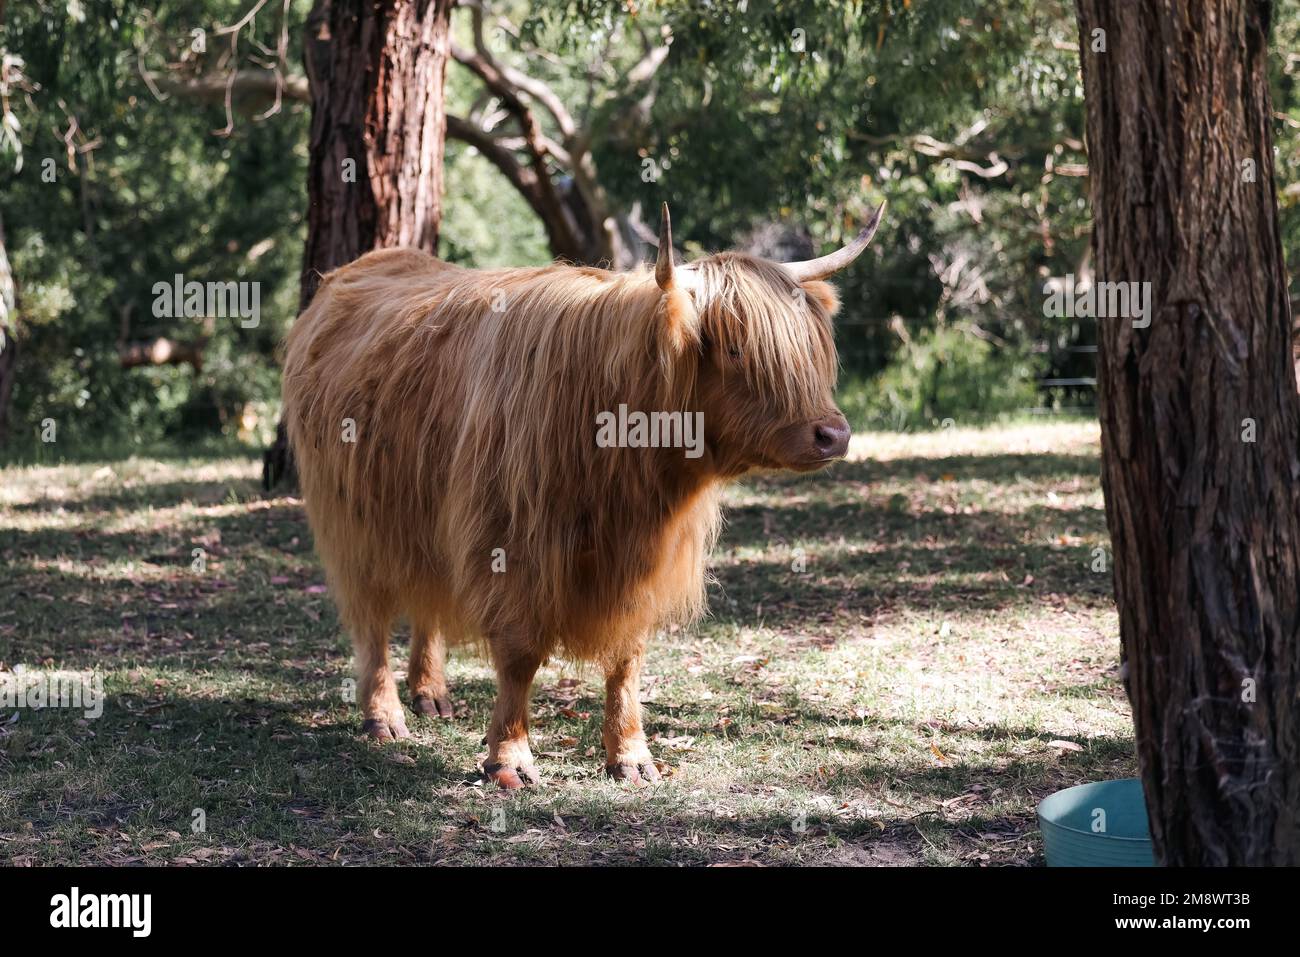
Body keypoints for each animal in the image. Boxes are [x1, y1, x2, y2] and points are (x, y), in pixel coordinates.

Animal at [281, 202, 884, 788]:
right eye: (736, 348)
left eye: (810, 346)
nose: (833, 434)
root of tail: (358, 269)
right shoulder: (511, 544)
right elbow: (520, 655)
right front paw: (509, 758)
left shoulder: (643, 564)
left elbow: (628, 657)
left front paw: (632, 755)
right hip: (353, 519)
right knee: (371, 616)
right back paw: (383, 716)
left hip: (423, 514)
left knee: (426, 596)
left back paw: (431, 694)